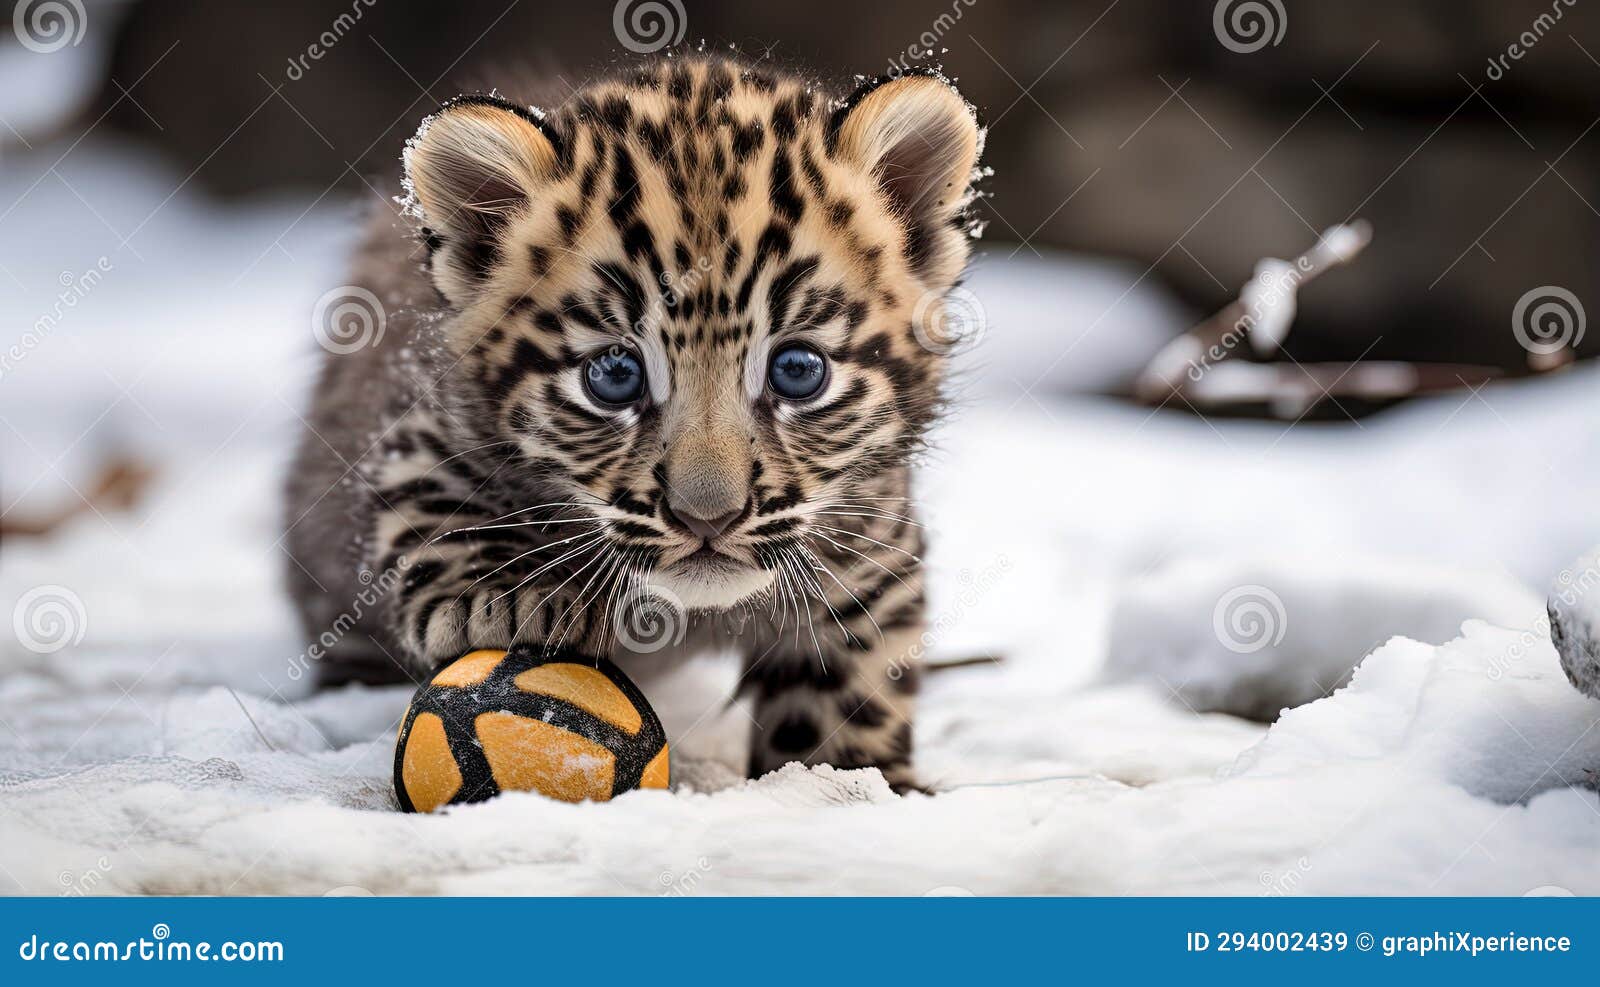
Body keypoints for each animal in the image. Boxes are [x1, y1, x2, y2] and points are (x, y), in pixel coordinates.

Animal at [283, 54, 984, 793]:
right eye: (614, 374)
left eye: (798, 370)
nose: (708, 517)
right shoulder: (423, 435)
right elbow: (437, 512)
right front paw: (503, 595)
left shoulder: (872, 539)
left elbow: (854, 671)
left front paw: (847, 780)